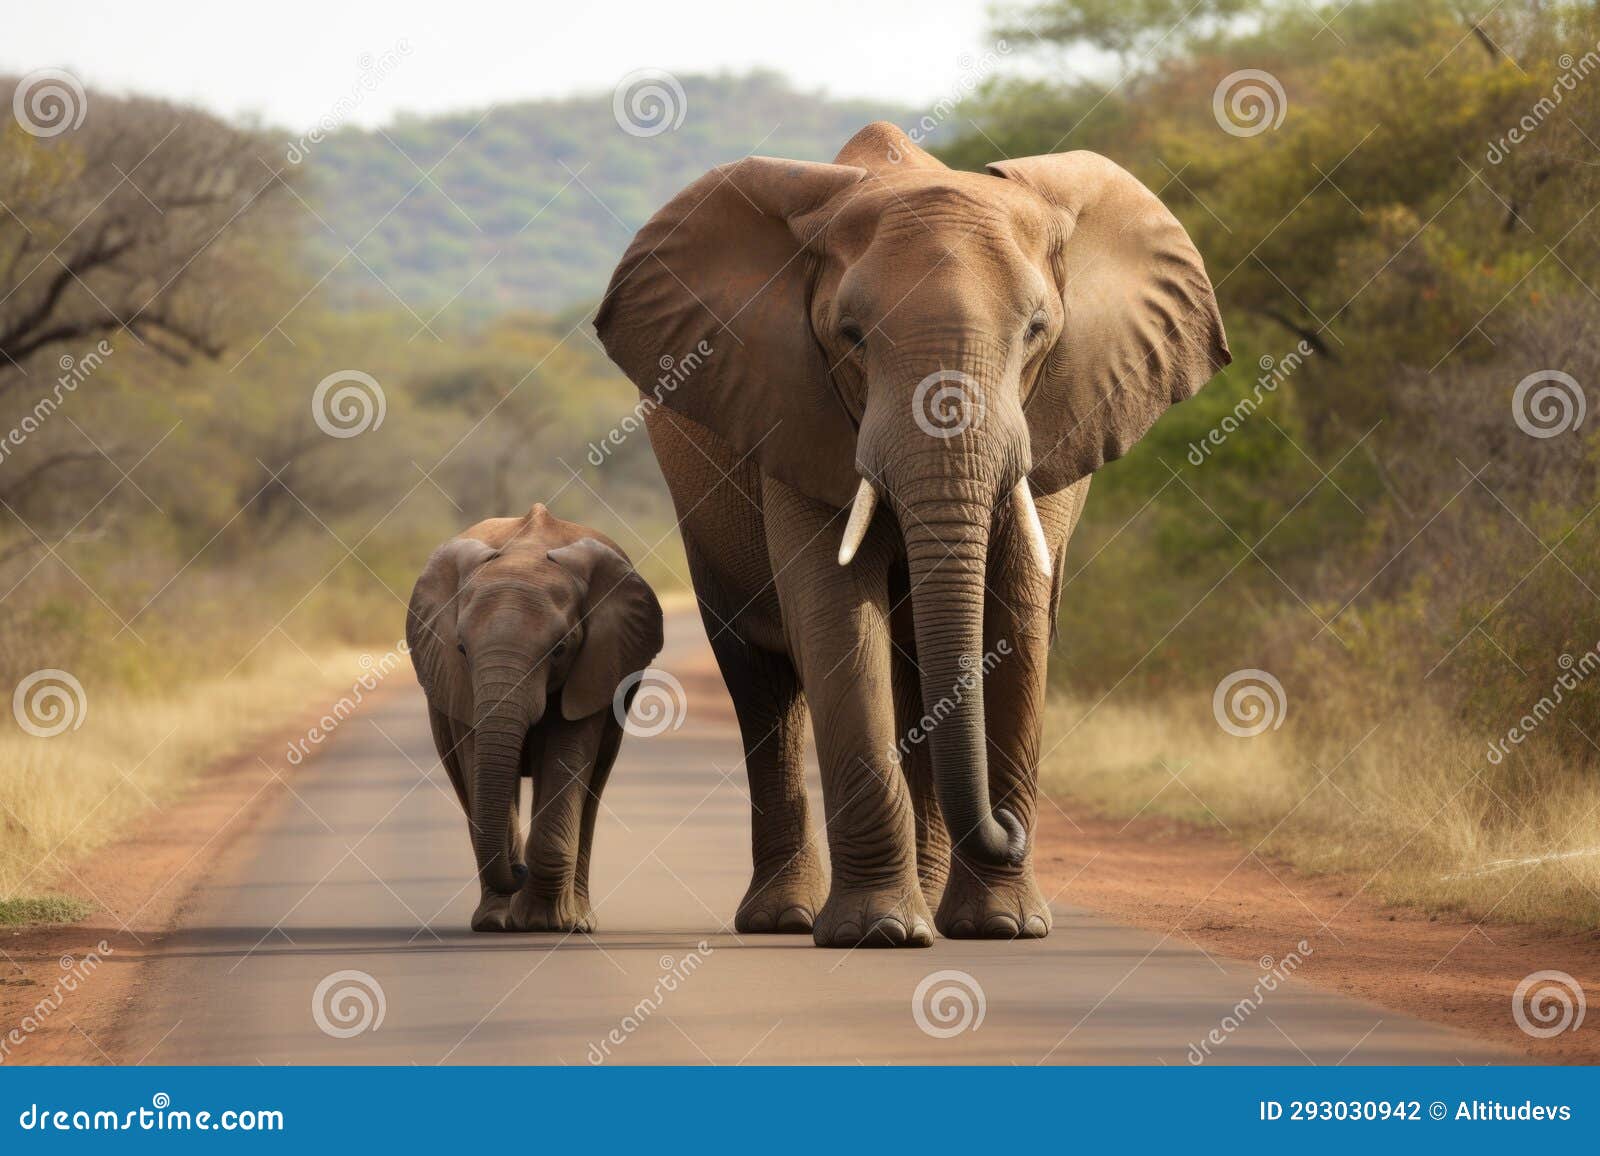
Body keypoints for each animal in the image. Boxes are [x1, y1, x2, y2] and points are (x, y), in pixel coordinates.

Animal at [405, 504, 663, 933]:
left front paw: (546, 924)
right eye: (461, 649)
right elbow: (477, 759)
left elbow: (567, 757)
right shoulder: (459, 684)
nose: (519, 868)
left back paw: (579, 921)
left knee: (592, 788)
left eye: (559, 649)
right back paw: (495, 920)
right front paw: (503, 920)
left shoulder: (593, 667)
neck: (524, 553)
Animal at [595, 121, 1229, 948]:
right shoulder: (793, 408)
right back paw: (786, 917)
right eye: (851, 337)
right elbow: (834, 613)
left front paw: (1003, 927)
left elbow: (1014, 613)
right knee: (760, 677)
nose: (1008, 827)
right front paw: (877, 933)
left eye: (1037, 332)